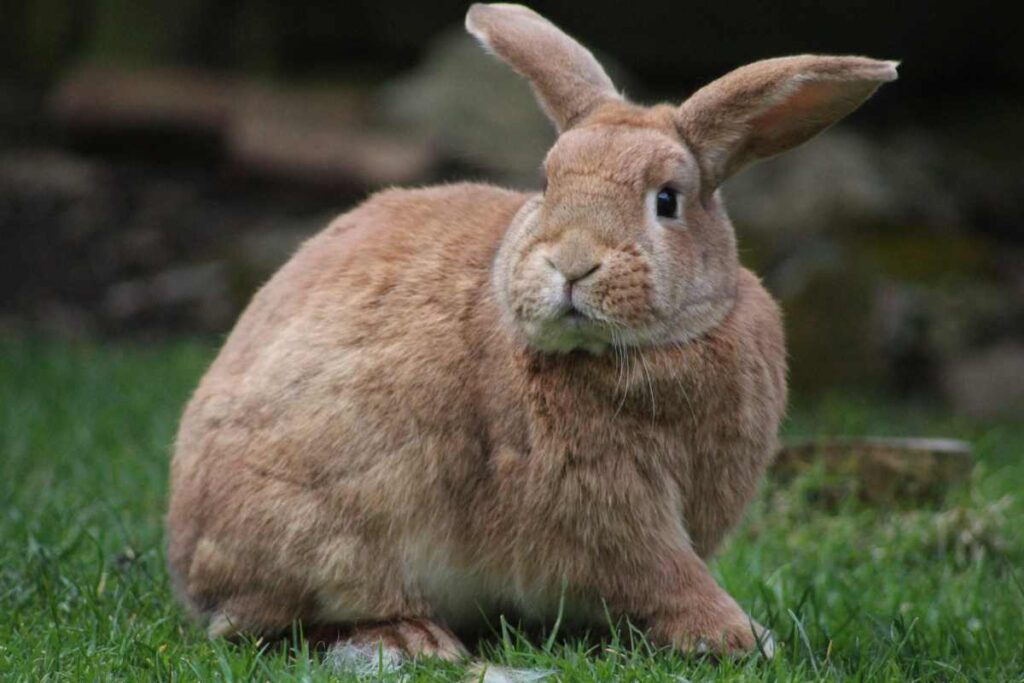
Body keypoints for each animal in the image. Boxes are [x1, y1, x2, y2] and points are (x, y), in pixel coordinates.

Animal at [167, 1, 897, 666]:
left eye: (667, 200)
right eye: (546, 183)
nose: (572, 263)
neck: (644, 350)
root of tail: (188, 556)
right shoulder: (606, 507)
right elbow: (663, 572)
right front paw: (738, 636)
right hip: (332, 534)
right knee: (270, 625)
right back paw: (413, 639)